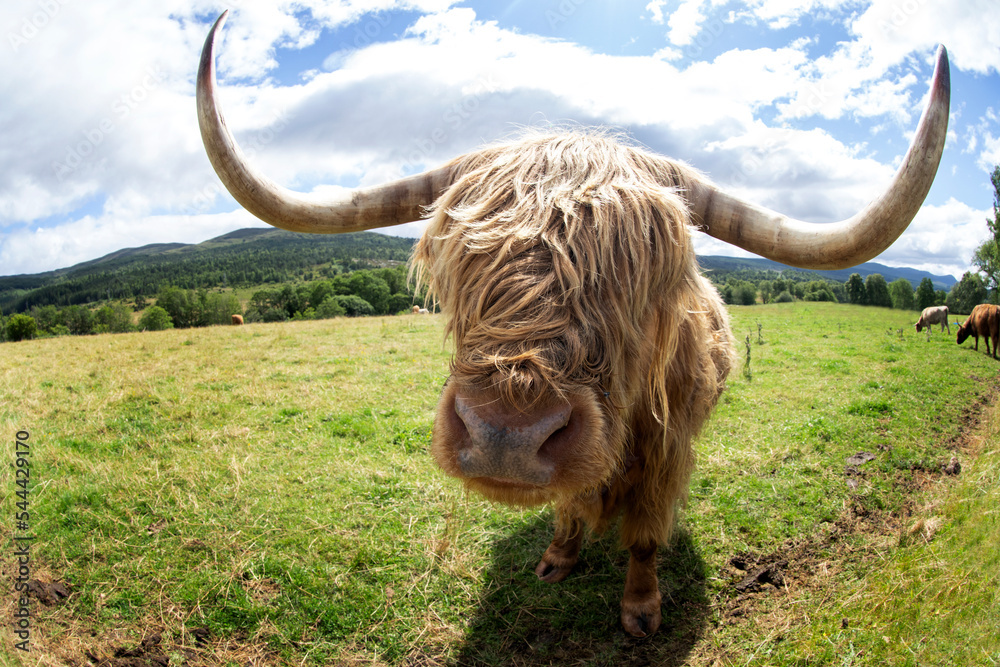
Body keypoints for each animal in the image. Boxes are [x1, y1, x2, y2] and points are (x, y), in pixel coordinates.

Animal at [196, 13, 949, 637]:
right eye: (459, 265)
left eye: (640, 277)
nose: (506, 434)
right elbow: (567, 503)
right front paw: (558, 555)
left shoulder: (665, 454)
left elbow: (644, 535)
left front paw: (640, 609)